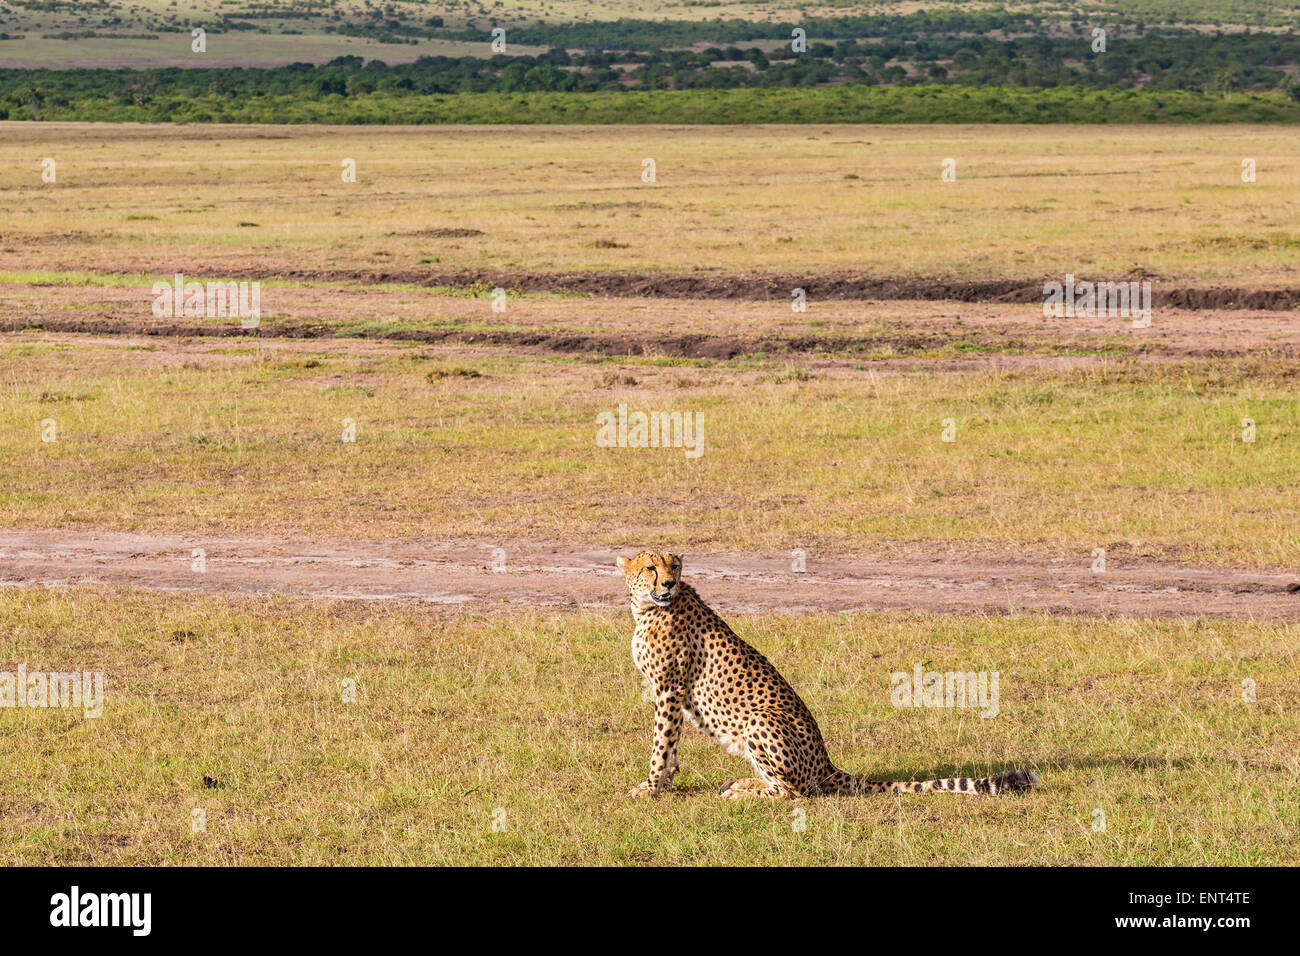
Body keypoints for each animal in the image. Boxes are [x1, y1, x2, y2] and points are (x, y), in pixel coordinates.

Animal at [617, 550, 1040, 800]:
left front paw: (650, 788)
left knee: (794, 791)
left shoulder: (669, 689)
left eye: (673, 567)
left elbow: (661, 743)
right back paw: (743, 783)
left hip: (760, 721)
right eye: (651, 567)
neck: (646, 607)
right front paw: (663, 784)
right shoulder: (670, 693)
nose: (668, 583)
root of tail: (825, 761)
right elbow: (671, 747)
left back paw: (744, 791)